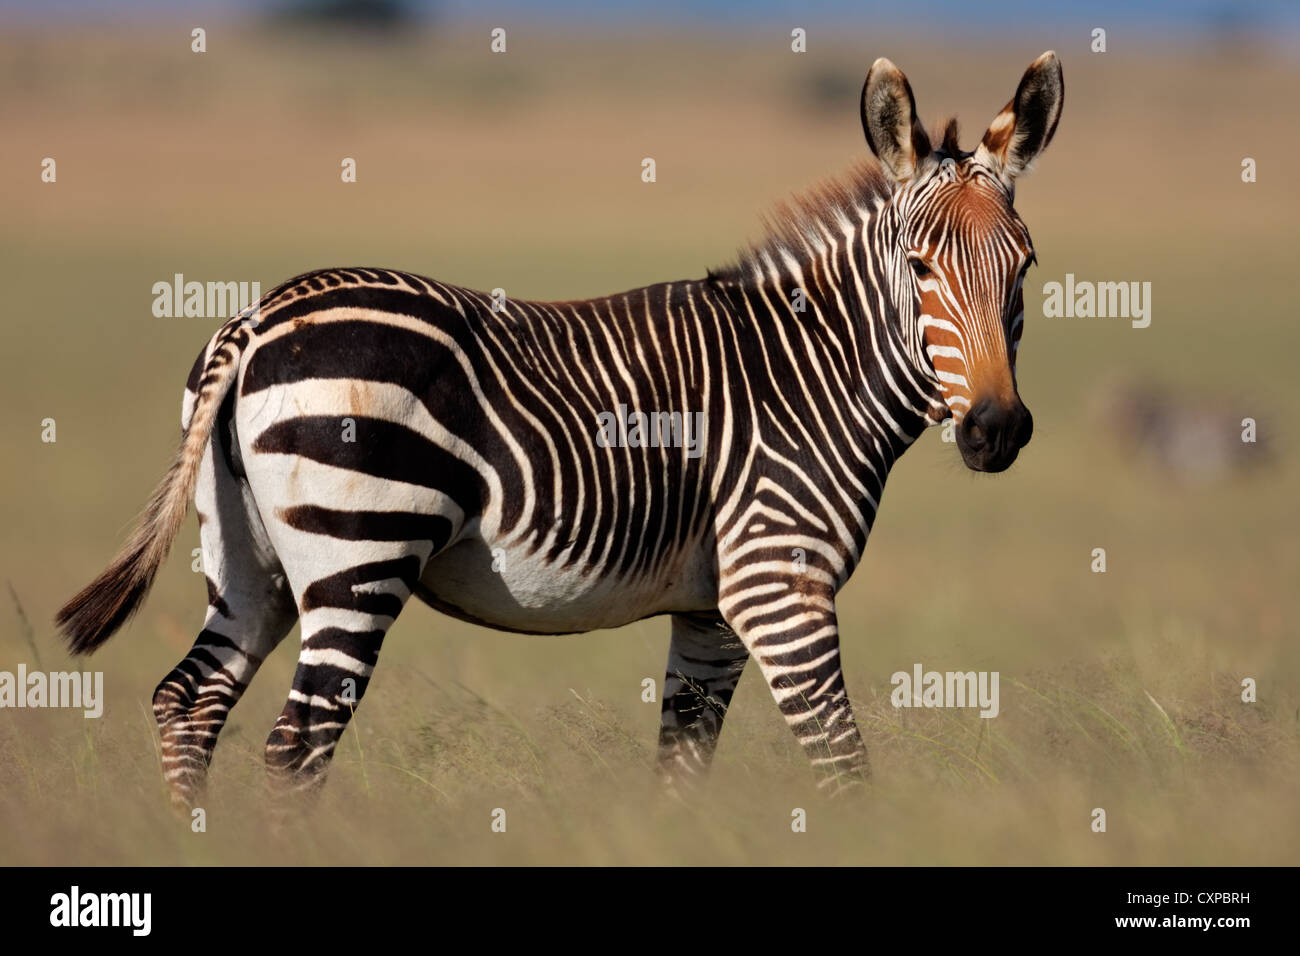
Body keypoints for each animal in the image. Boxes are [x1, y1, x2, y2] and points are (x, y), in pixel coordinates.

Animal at [56, 51, 1063, 805]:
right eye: (921, 266)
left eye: (1024, 267)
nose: (996, 431)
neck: (809, 371)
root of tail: (258, 320)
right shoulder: (780, 585)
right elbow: (843, 765)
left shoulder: (709, 610)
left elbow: (680, 772)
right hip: (359, 551)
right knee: (294, 746)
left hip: (247, 558)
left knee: (188, 703)